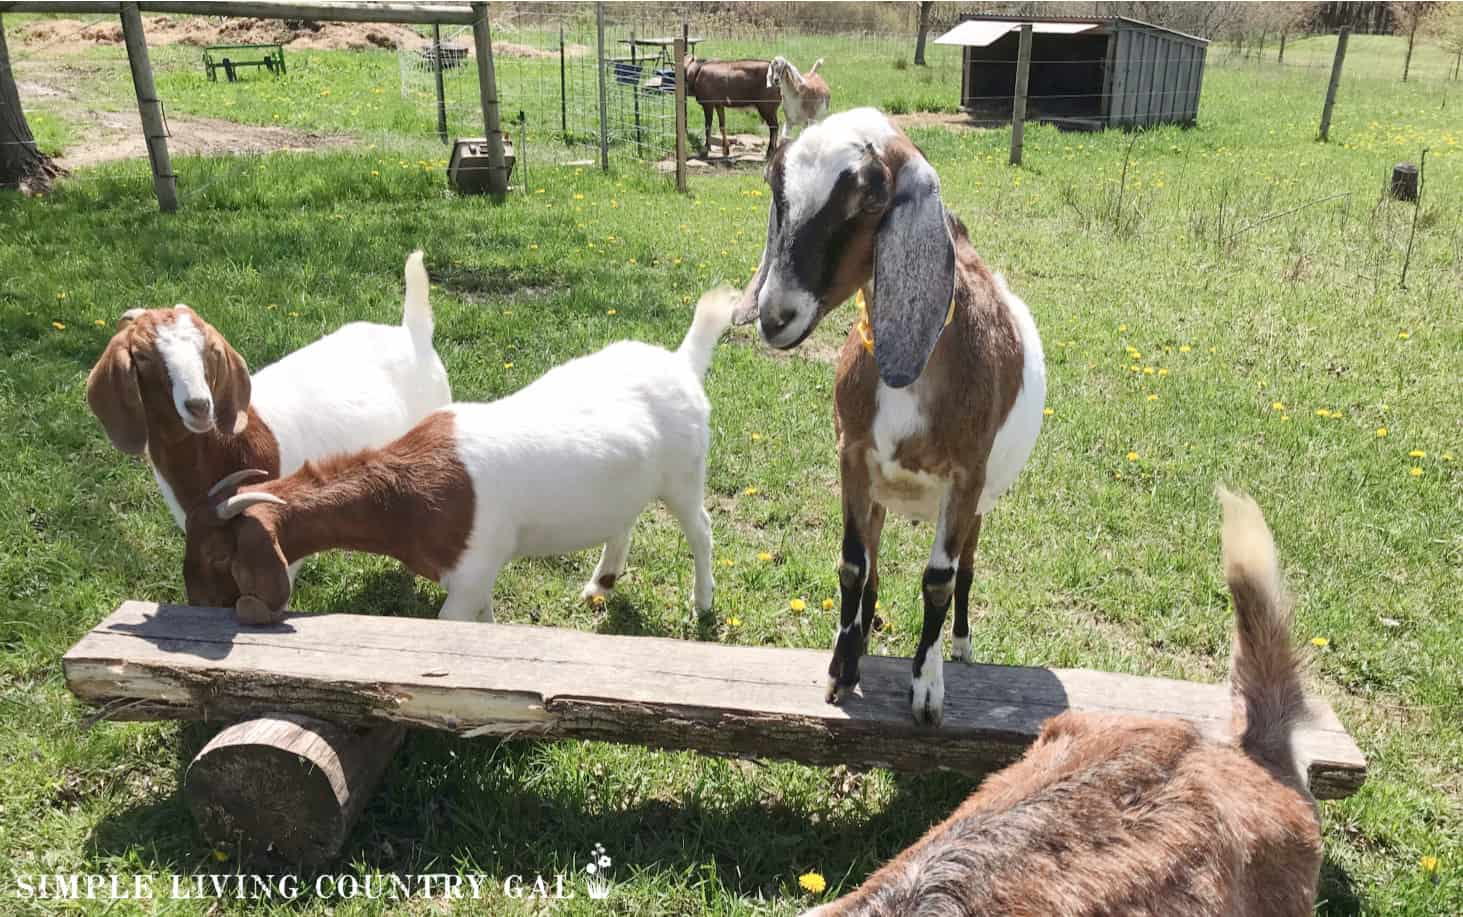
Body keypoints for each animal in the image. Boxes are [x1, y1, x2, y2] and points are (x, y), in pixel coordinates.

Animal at [183, 288, 738, 626]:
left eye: (220, 556)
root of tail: (682, 363)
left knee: (701, 529)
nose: (195, 607)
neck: (406, 495)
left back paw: (702, 602)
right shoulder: (475, 575)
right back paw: (599, 585)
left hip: (685, 474)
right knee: (622, 521)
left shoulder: (471, 573)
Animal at [734, 108, 1045, 725]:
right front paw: (840, 669)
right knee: (875, 568)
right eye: (776, 187)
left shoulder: (966, 478)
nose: (775, 316)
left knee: (967, 566)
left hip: (981, 502)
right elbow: (854, 566)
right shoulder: (853, 456)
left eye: (872, 196)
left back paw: (962, 645)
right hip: (882, 491)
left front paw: (927, 688)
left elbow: (939, 581)